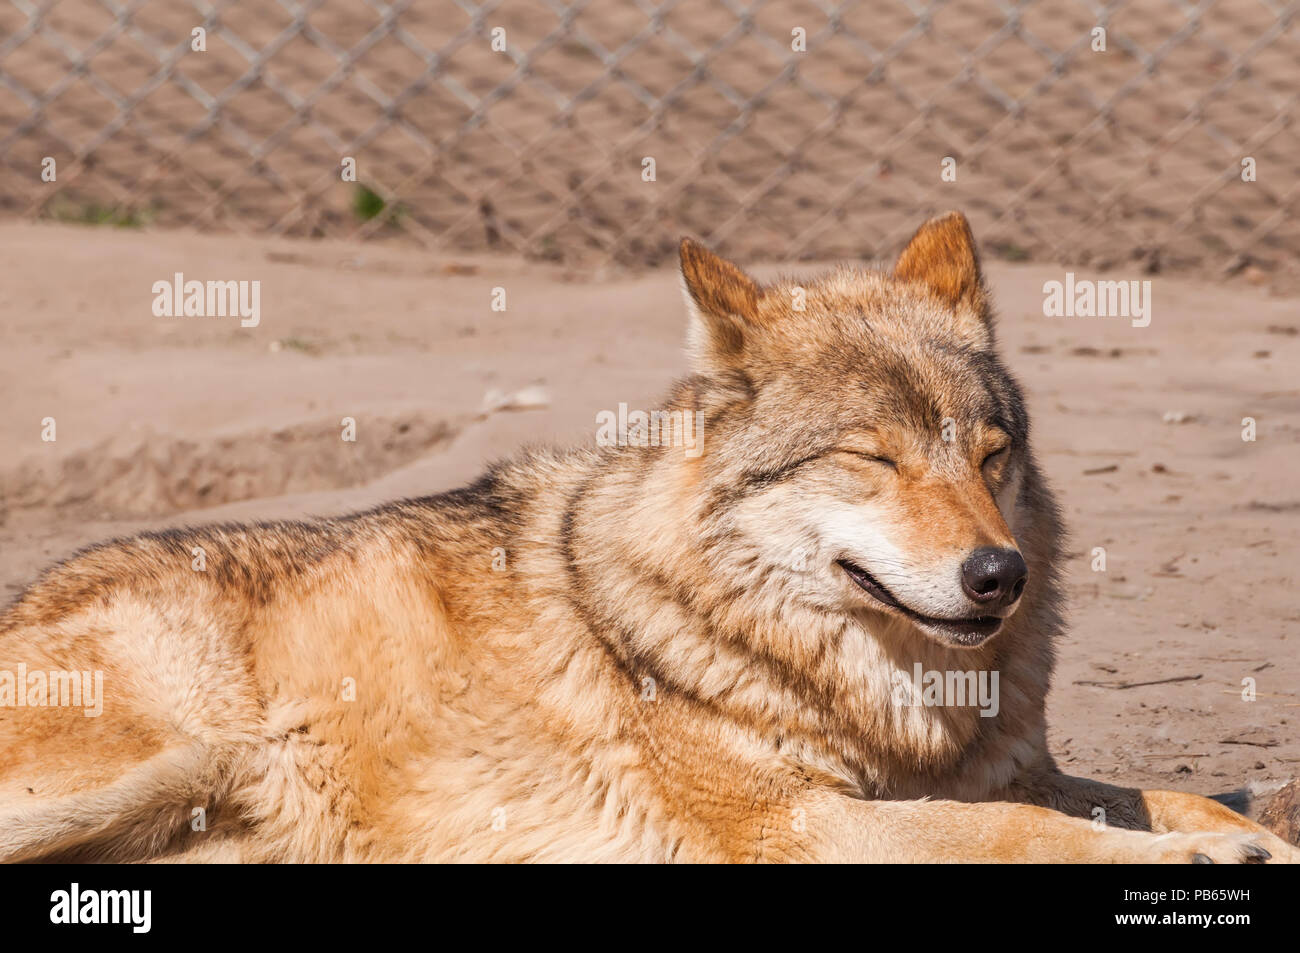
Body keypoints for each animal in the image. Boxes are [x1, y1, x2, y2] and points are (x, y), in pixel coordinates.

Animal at [0, 212, 1292, 863]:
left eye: (989, 455)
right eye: (870, 458)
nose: (999, 575)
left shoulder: (1020, 767)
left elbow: (1167, 799)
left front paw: (1235, 839)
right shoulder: (798, 822)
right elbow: (1021, 832)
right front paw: (1184, 862)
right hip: (162, 768)